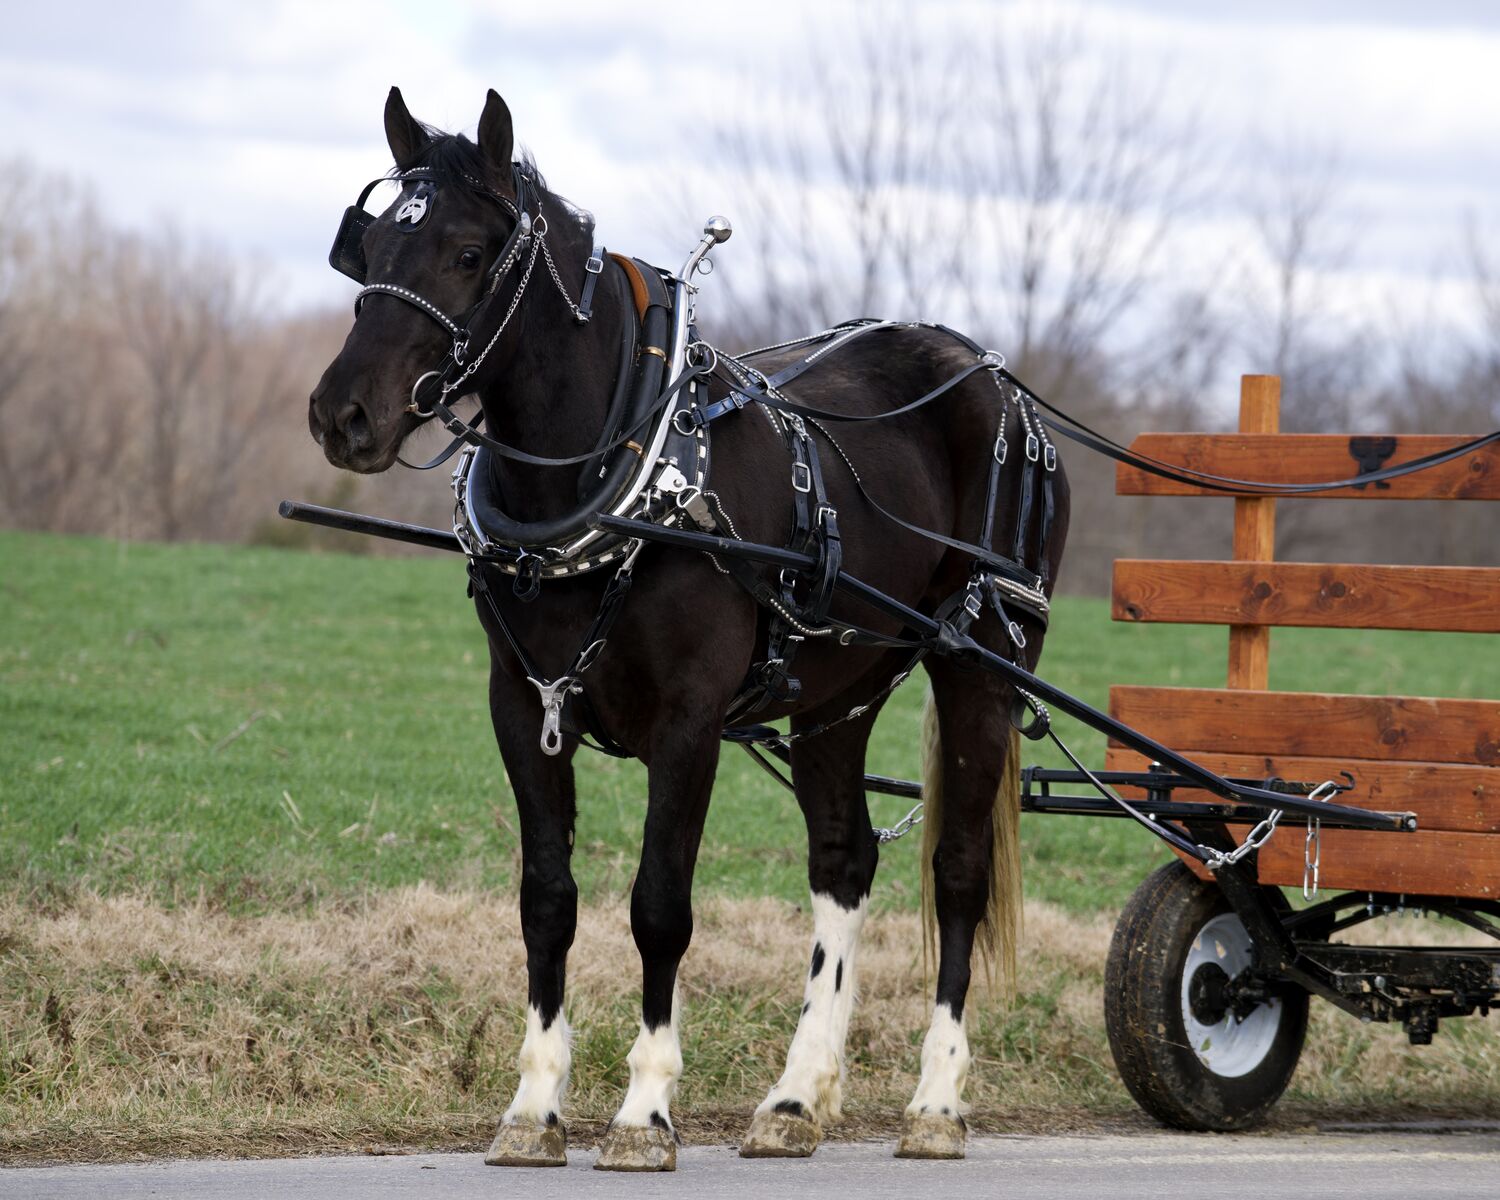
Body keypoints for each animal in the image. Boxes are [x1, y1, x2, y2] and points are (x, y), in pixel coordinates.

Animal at [307, 86, 1069, 1171]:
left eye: (466, 251)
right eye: (367, 245)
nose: (344, 416)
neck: (625, 476)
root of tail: (994, 379)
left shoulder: (690, 724)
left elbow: (659, 908)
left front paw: (644, 1113)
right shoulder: (521, 710)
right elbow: (547, 902)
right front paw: (534, 1109)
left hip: (986, 663)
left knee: (959, 872)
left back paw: (935, 1103)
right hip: (836, 692)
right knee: (843, 863)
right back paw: (795, 1099)